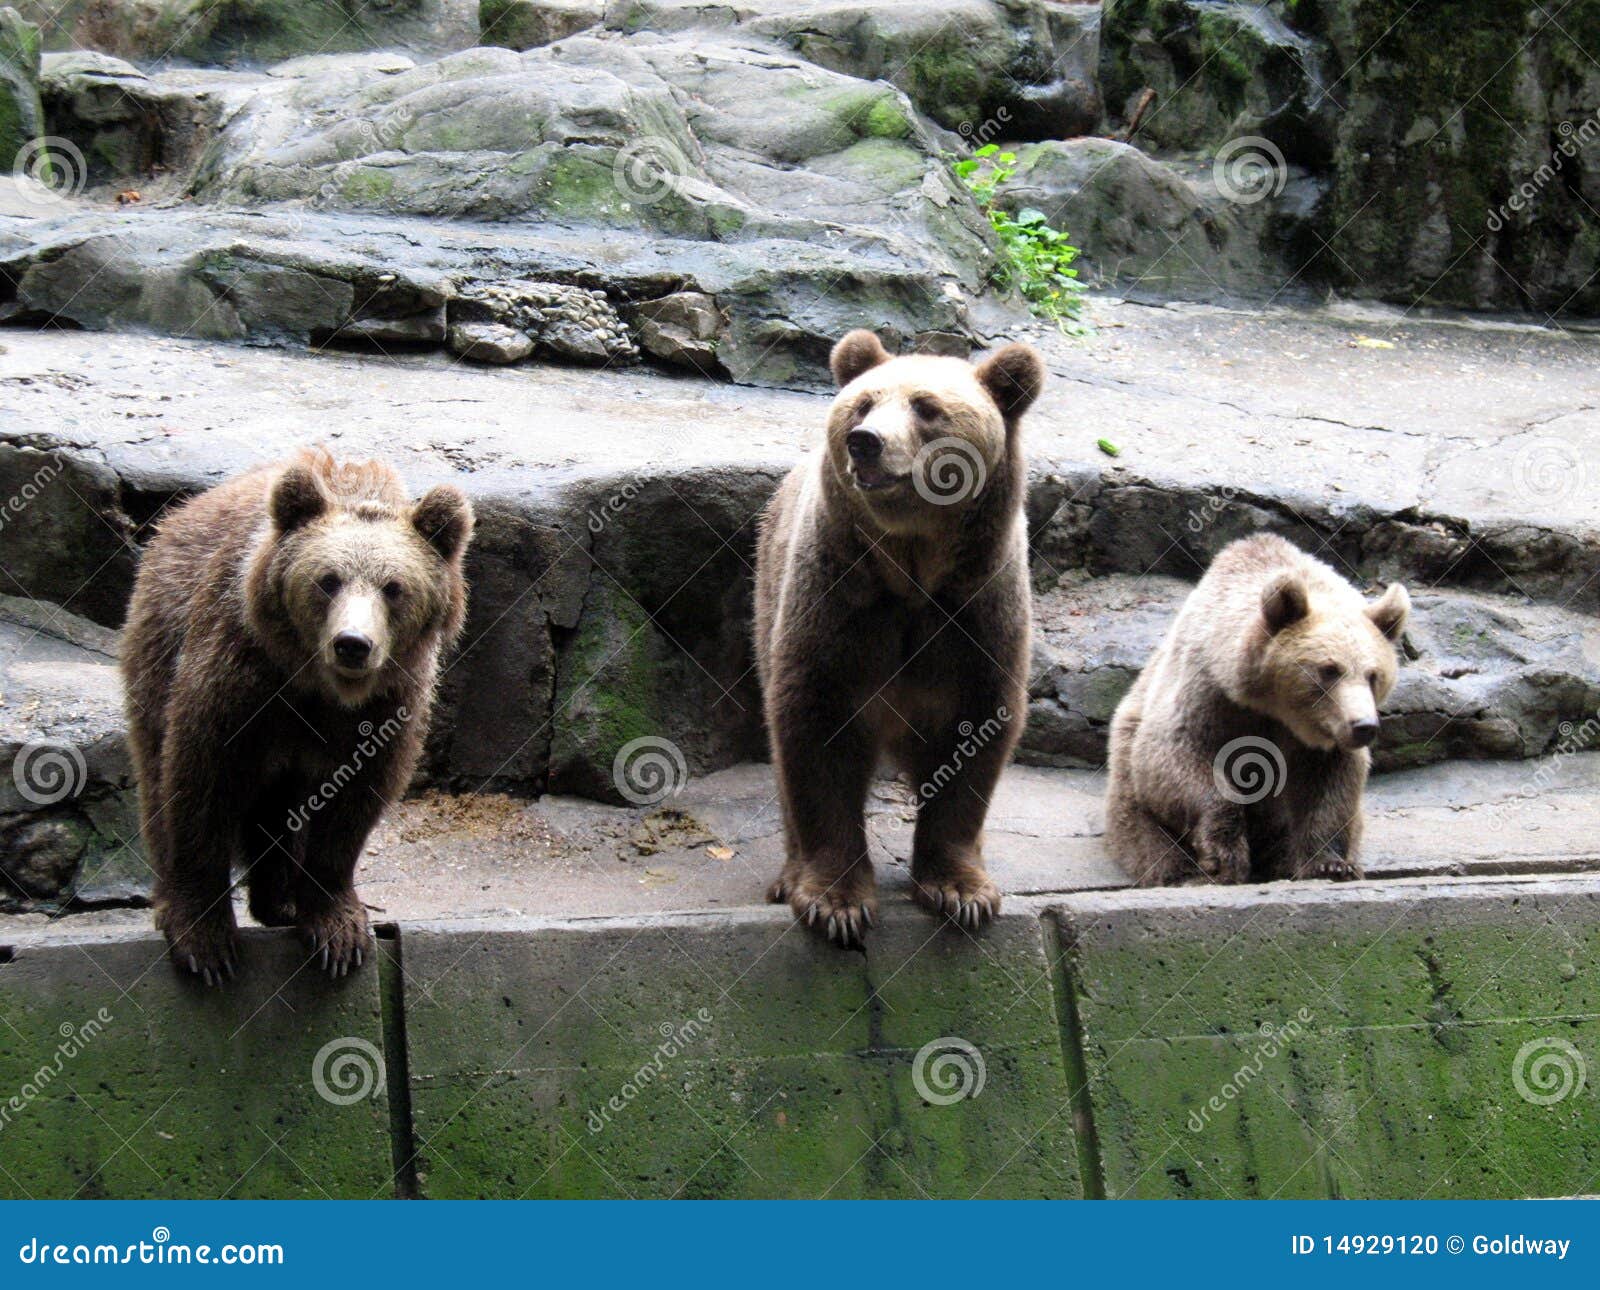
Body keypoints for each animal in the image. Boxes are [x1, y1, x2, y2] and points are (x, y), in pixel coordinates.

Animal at [120, 448, 473, 983]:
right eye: (328, 580)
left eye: (393, 587)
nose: (353, 644)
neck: (318, 688)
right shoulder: (239, 676)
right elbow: (201, 778)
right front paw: (205, 939)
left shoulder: (387, 707)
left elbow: (353, 803)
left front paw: (337, 927)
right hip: (159, 639)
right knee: (157, 770)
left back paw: (281, 900)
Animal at [753, 329, 1046, 947]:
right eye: (864, 404)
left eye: (927, 407)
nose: (865, 442)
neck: (912, 572)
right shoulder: (840, 600)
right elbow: (815, 732)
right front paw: (835, 901)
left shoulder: (977, 611)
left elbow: (976, 734)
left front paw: (962, 890)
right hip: (767, 588)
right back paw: (787, 874)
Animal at [1104, 533, 1409, 887]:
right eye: (1329, 670)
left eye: (1374, 675)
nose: (1363, 726)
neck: (1272, 706)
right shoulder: (1208, 691)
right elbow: (1172, 756)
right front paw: (1222, 858)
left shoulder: (1322, 741)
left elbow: (1331, 785)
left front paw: (1330, 864)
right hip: (1127, 755)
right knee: (1144, 826)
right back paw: (1180, 871)